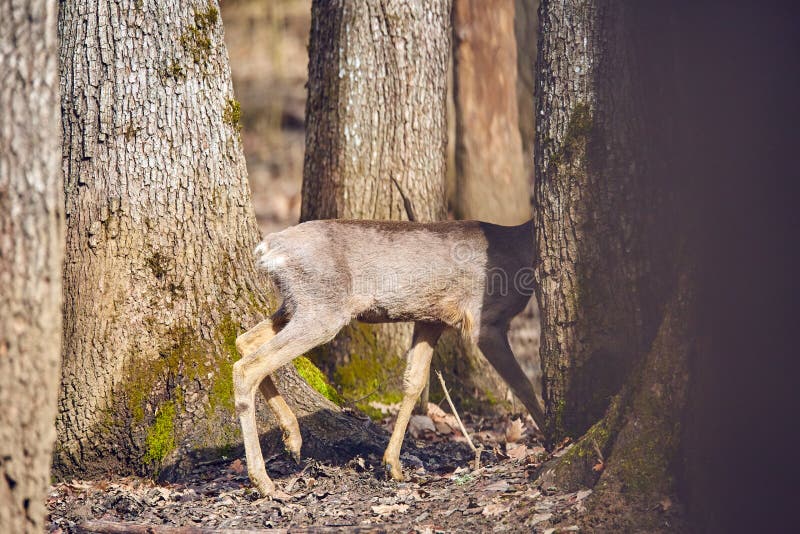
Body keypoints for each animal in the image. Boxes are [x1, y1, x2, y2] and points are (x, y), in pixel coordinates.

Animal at [232, 218, 546, 498]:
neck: (521, 247)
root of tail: (269, 248)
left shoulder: (431, 319)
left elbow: (414, 382)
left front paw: (392, 464)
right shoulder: (486, 320)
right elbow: (523, 386)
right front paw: (549, 438)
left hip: (296, 305)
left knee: (244, 342)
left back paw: (292, 439)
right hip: (322, 308)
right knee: (249, 366)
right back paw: (265, 482)